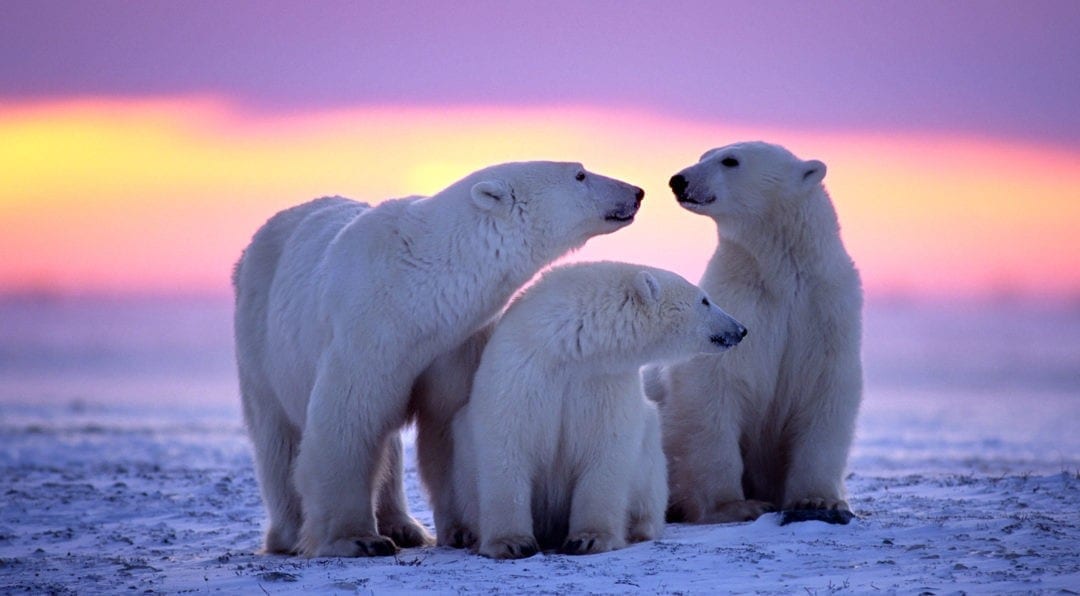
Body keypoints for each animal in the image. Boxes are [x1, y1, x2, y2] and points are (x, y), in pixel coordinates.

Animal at [232, 161, 644, 557]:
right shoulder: (366, 331)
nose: (637, 191)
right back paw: (289, 534)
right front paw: (358, 540)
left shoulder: (454, 343)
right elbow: (348, 421)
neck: (418, 290)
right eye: (580, 174)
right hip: (260, 340)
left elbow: (448, 423)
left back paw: (404, 526)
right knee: (277, 436)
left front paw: (463, 530)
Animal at [449, 261, 748, 559]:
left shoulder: (604, 381)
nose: (741, 329)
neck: (569, 348)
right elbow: (507, 445)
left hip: (650, 457)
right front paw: (512, 543)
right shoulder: (522, 371)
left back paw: (638, 528)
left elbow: (606, 449)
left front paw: (589, 539)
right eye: (705, 300)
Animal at [651, 141, 863, 525]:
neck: (781, 274)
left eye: (730, 160)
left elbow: (826, 392)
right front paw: (736, 505)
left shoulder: (826, 311)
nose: (679, 180)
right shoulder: (739, 306)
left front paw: (819, 501)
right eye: (704, 155)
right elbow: (713, 390)